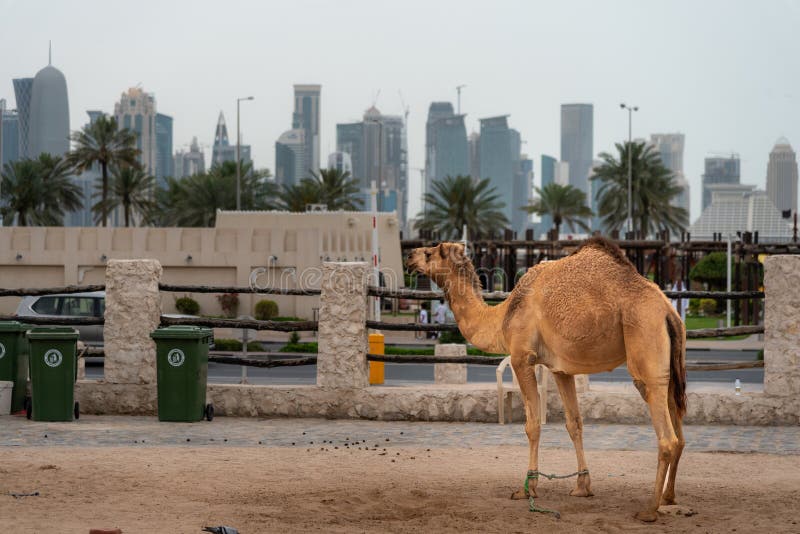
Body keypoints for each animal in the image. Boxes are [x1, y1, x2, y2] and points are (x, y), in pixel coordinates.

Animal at [406, 237, 686, 522]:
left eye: (428, 253)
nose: (409, 256)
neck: (504, 315)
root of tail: (668, 312)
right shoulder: (561, 370)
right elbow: (574, 424)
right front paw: (582, 487)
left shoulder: (521, 358)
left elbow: (532, 425)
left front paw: (527, 488)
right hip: (670, 368)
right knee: (680, 435)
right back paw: (669, 497)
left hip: (646, 351)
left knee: (667, 438)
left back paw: (649, 509)